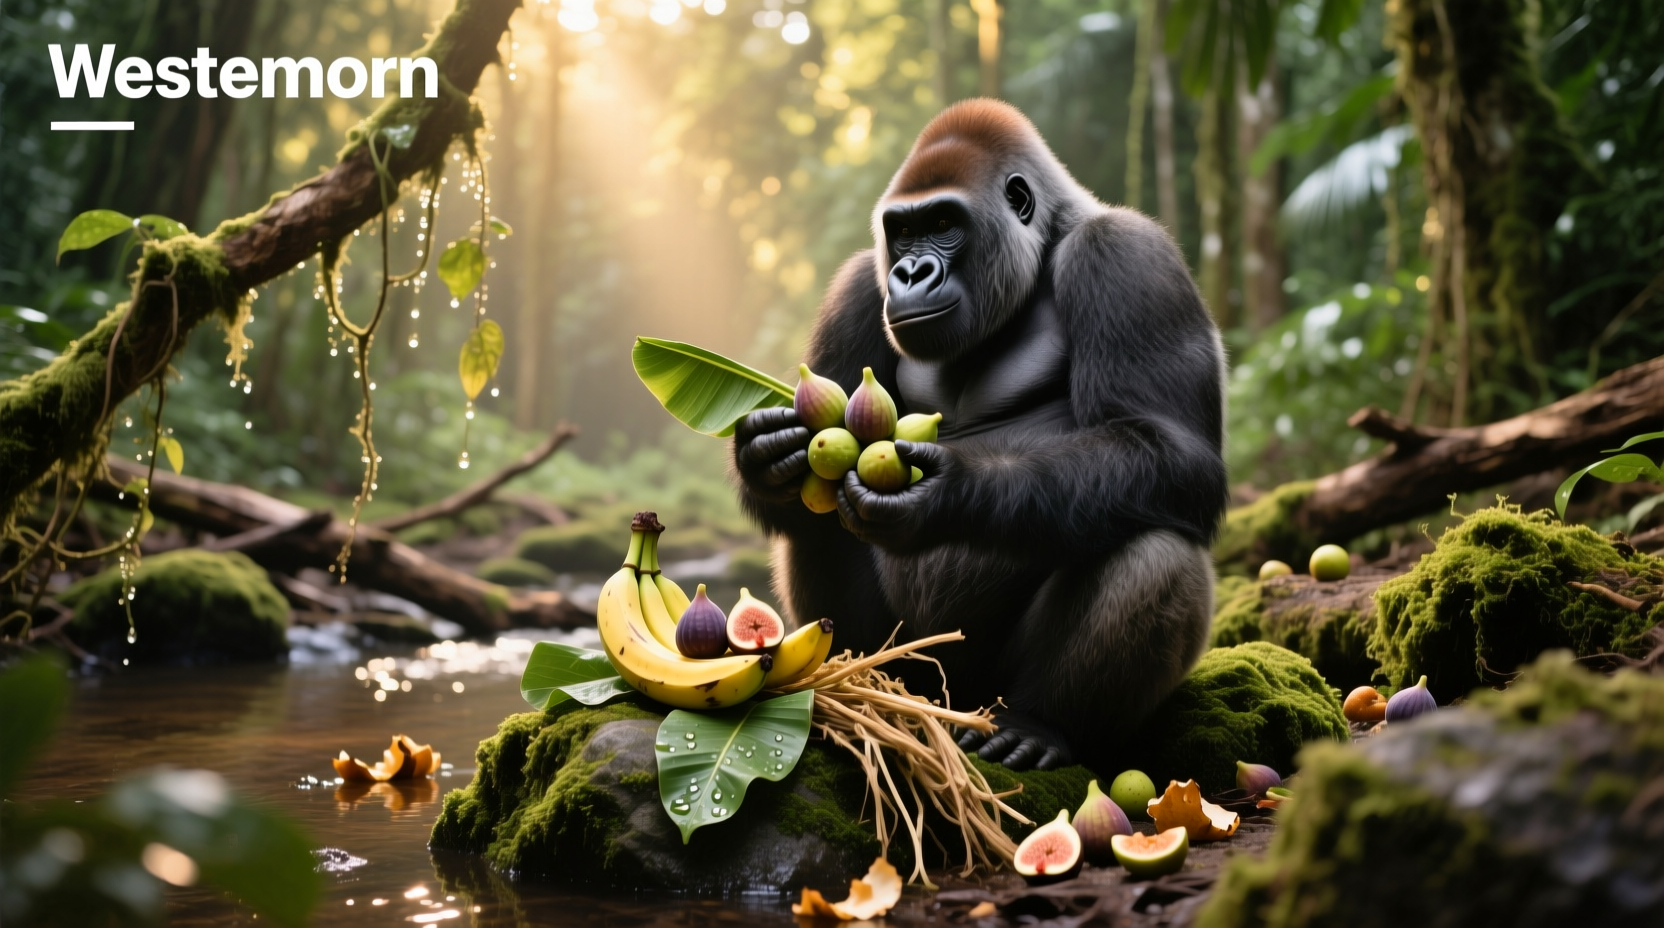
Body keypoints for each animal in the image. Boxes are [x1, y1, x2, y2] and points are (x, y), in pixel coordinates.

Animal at [732, 99, 1227, 772]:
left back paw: (1039, 725)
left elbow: (1176, 456)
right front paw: (763, 455)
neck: (1046, 241)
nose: (910, 271)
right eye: (903, 231)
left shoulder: (1128, 253)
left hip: (987, 694)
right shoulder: (859, 283)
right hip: (921, 672)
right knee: (815, 528)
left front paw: (950, 492)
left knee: (1154, 545)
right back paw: (866, 688)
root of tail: (953, 704)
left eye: (945, 222)